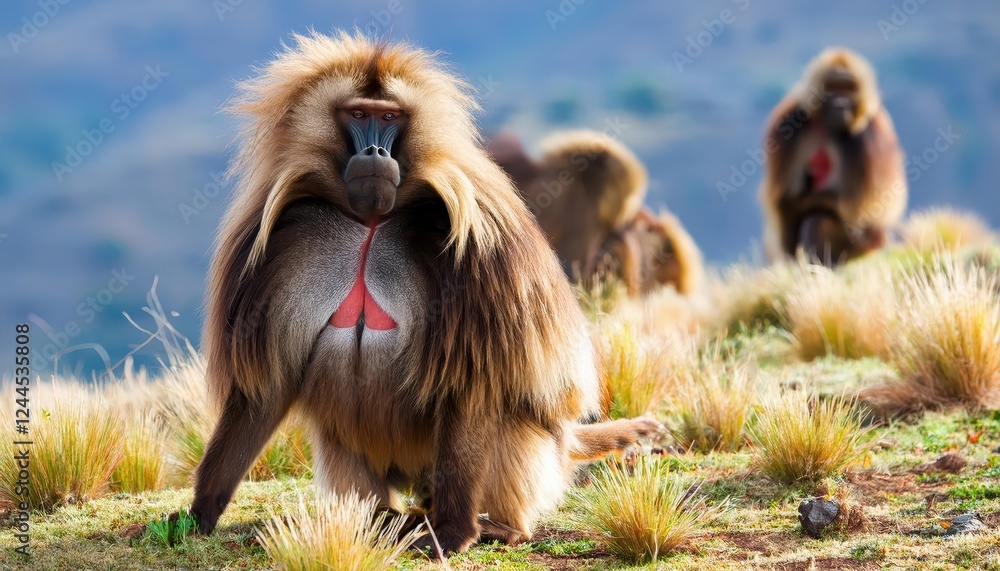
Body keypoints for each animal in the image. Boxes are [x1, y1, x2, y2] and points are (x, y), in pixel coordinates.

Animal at [759, 47, 907, 266]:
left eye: (848, 88)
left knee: (817, 220)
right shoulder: (787, 126)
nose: (840, 104)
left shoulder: (866, 137)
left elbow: (858, 210)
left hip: (859, 248)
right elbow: (784, 198)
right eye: (833, 87)